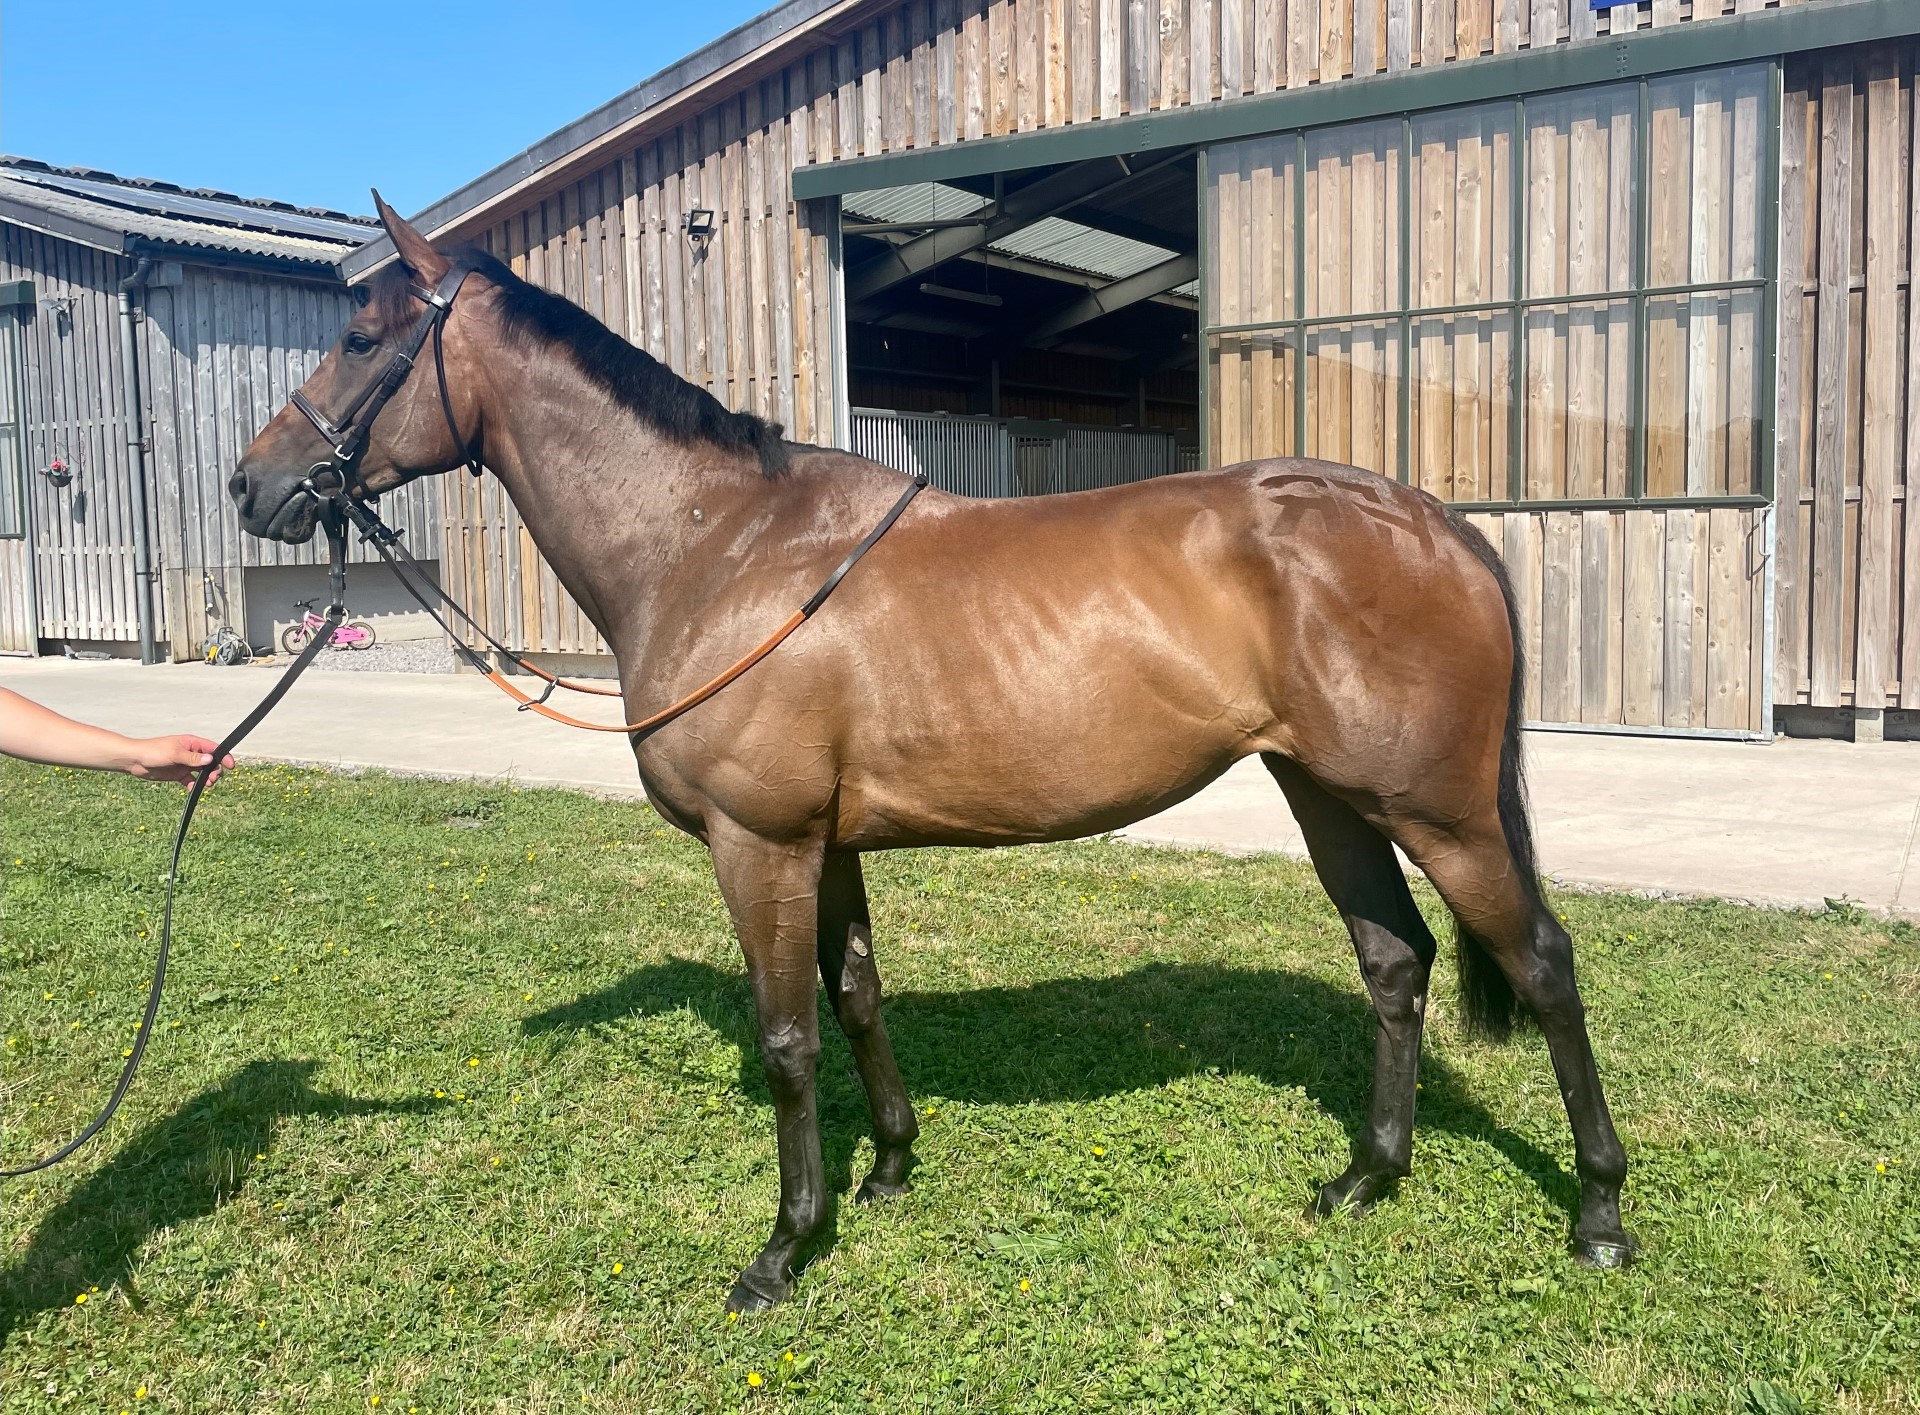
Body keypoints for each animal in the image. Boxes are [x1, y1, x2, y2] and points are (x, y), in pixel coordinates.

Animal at [229, 197, 1633, 1312]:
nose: (255, 484)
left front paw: (783, 1246)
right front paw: (893, 1164)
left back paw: (1600, 1213)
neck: (717, 546)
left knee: (1543, 965)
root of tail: (1436, 522)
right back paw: (1366, 1176)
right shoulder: (827, 842)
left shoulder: (761, 844)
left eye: (362, 338)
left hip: (1440, 809)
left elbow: (788, 1035)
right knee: (1395, 964)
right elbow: (855, 996)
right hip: (1330, 796)